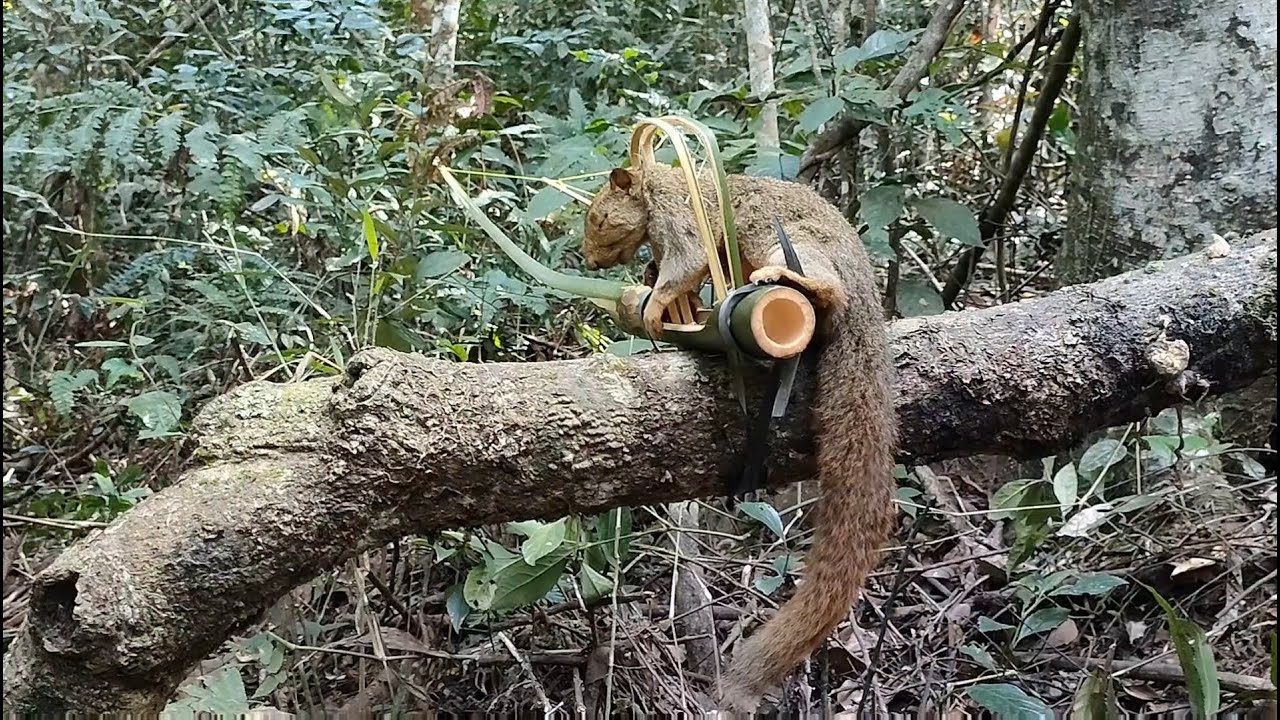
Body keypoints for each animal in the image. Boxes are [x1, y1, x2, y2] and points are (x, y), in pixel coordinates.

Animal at [581, 161, 898, 712]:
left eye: (600, 218)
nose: (587, 258)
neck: (657, 188)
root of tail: (868, 299)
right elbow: (677, 279)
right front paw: (659, 296)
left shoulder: (681, 218)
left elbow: (685, 264)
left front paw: (655, 306)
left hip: (796, 243)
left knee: (827, 289)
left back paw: (782, 277)